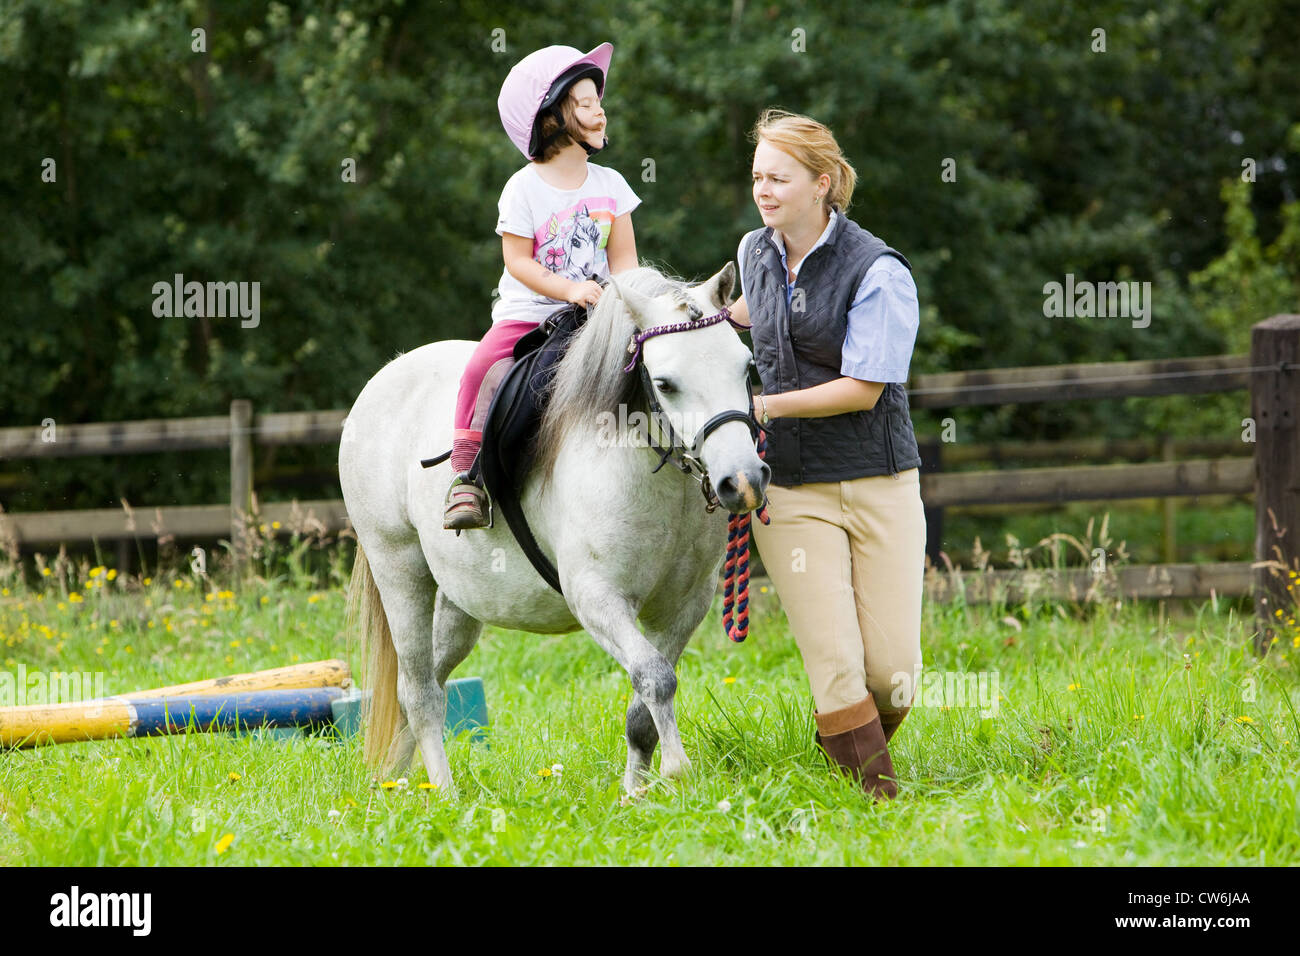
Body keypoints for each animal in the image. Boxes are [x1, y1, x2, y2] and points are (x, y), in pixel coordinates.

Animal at [339, 262, 770, 798]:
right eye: (666, 383)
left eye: (746, 367)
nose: (743, 481)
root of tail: (383, 380)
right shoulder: (597, 598)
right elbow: (654, 677)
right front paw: (677, 772)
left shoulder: (685, 607)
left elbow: (644, 700)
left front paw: (635, 796)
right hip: (400, 572)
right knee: (419, 692)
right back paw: (446, 796)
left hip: (458, 605)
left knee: (418, 687)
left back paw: (392, 783)